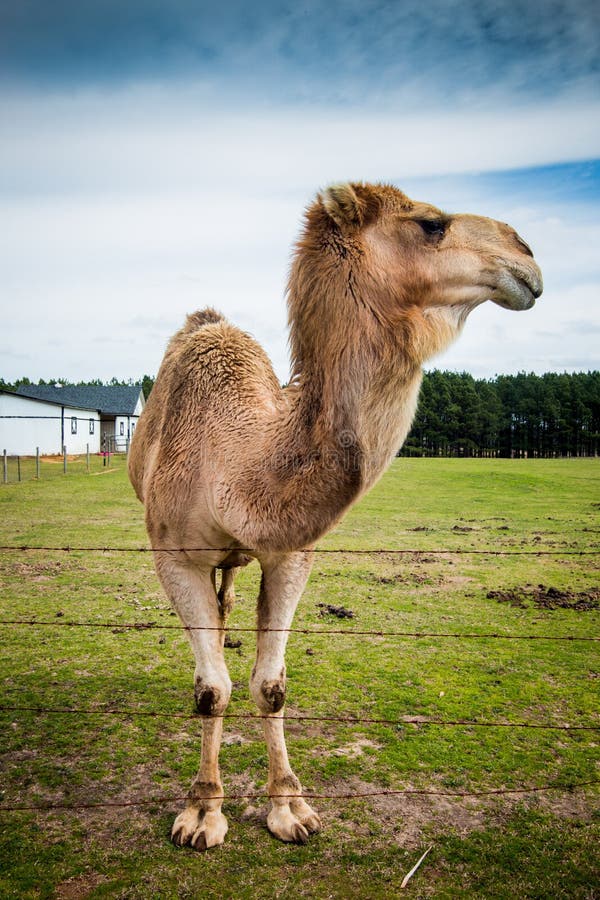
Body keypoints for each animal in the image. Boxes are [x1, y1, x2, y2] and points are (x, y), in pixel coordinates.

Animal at [128, 182, 542, 850]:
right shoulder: (172, 554)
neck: (234, 461)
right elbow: (213, 691)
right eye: (432, 224)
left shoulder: (289, 553)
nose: (526, 254)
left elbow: (269, 686)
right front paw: (201, 814)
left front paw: (290, 810)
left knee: (227, 601)